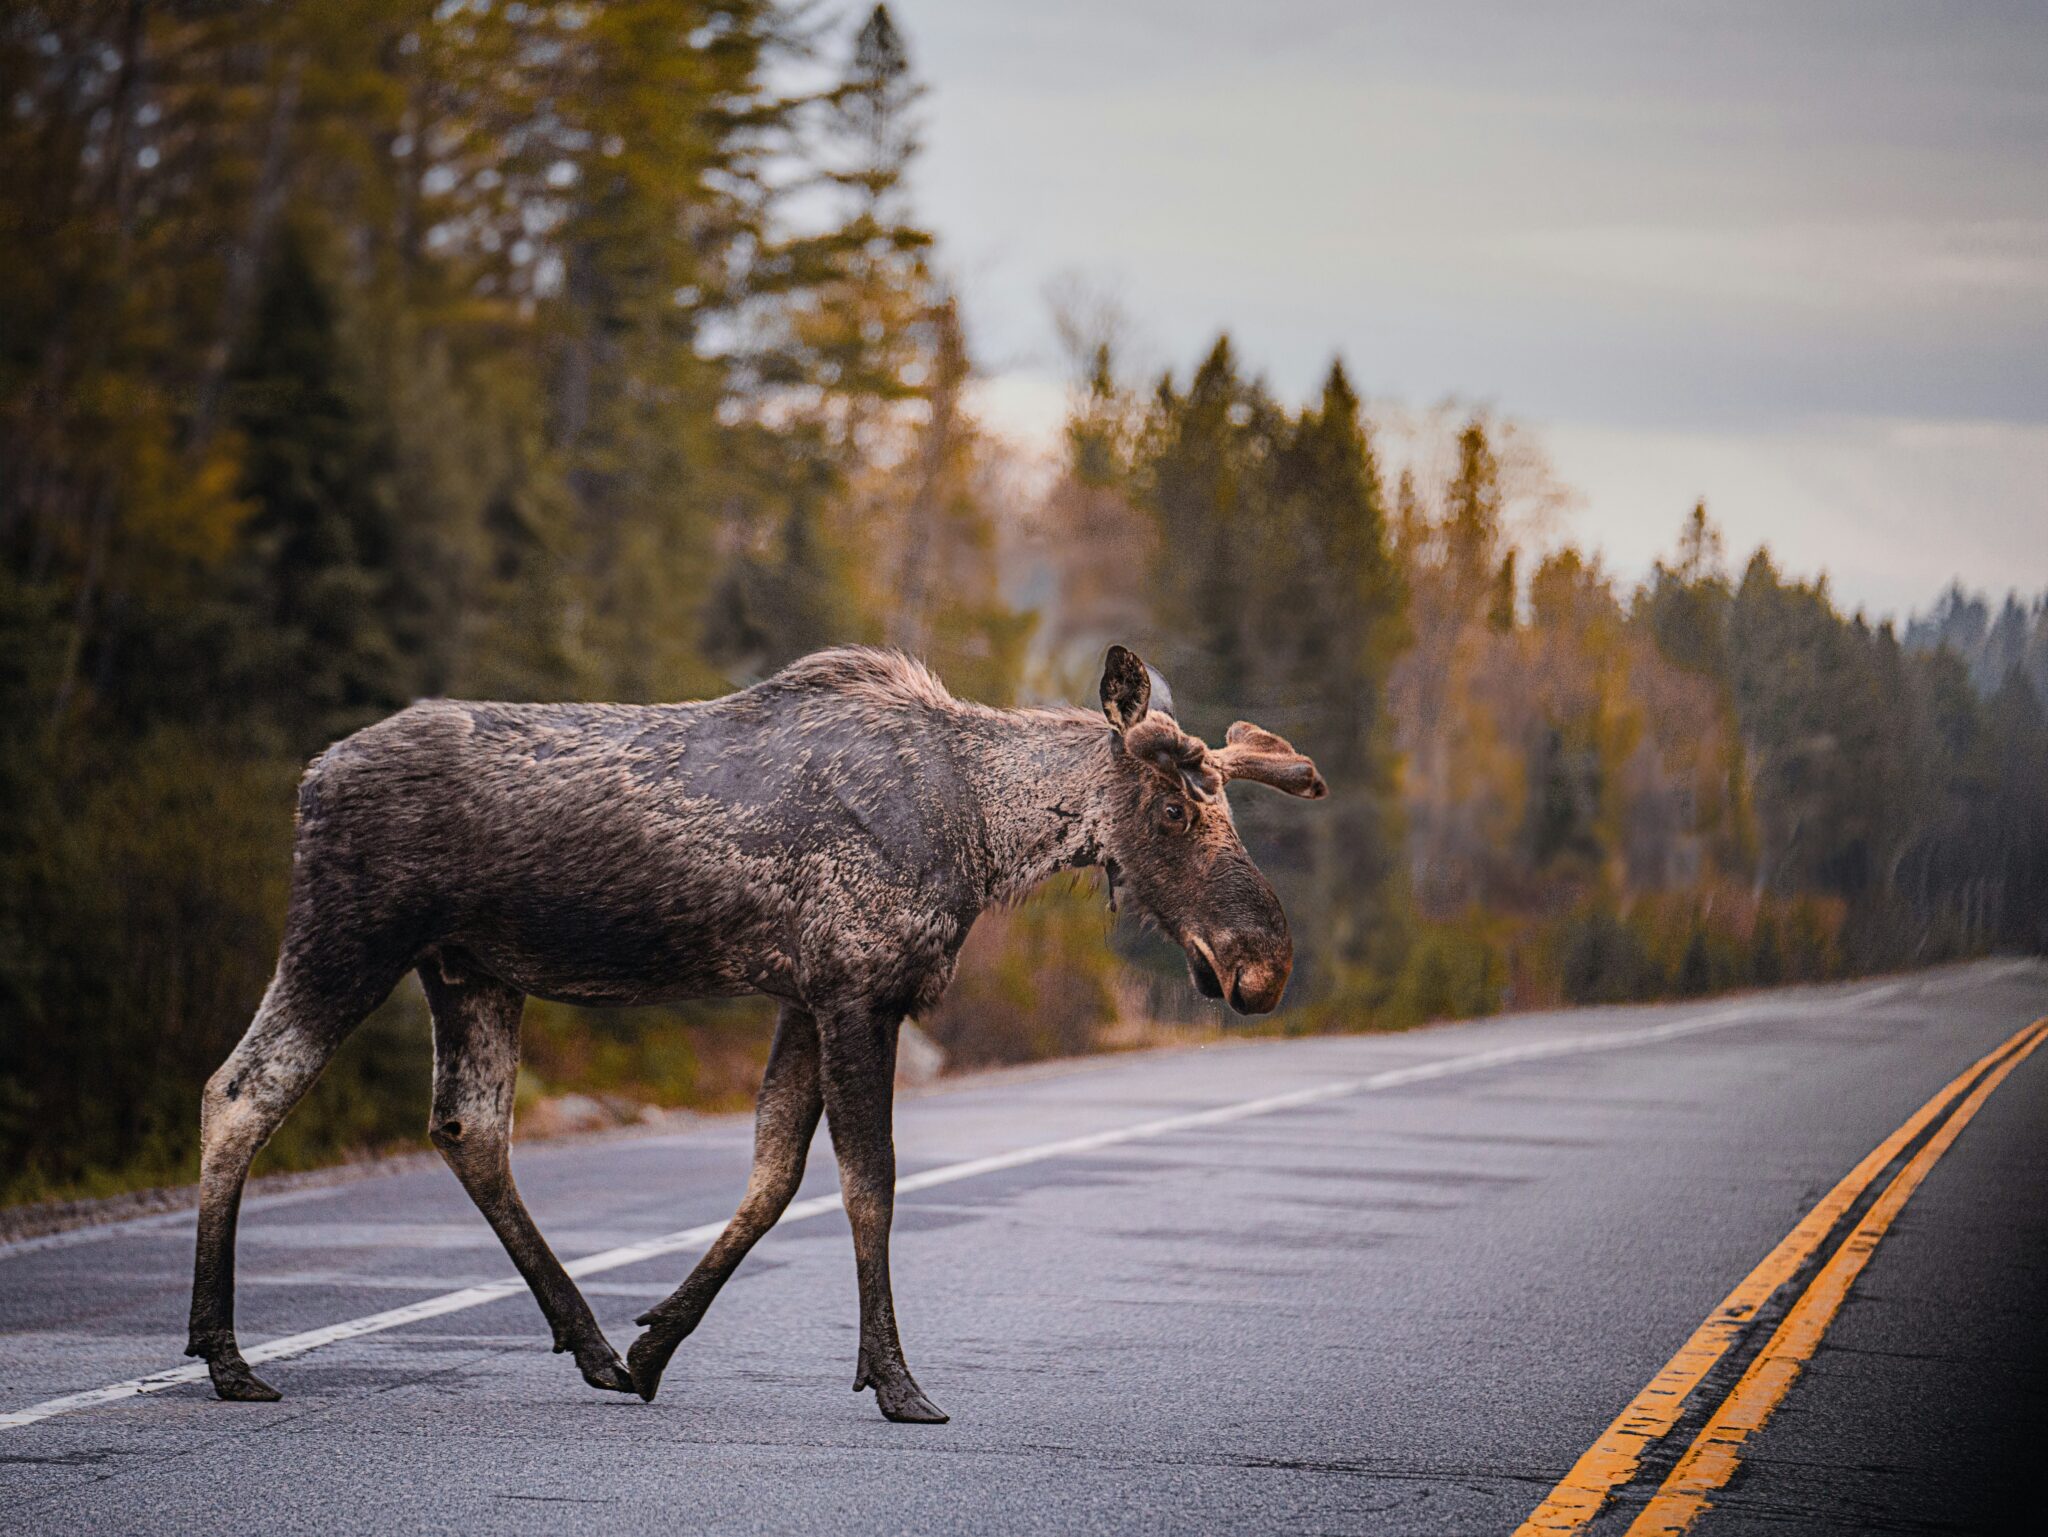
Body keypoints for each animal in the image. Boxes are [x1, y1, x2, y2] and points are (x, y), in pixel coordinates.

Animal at [186, 644, 1327, 1423]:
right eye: (1174, 812)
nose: (1261, 965)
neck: (983, 833)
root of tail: (310, 776)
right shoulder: (858, 991)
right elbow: (868, 1185)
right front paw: (895, 1378)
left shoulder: (805, 996)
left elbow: (773, 1174)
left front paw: (656, 1346)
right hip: (349, 936)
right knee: (239, 1089)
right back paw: (226, 1355)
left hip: (470, 969)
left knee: (469, 1128)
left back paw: (590, 1342)